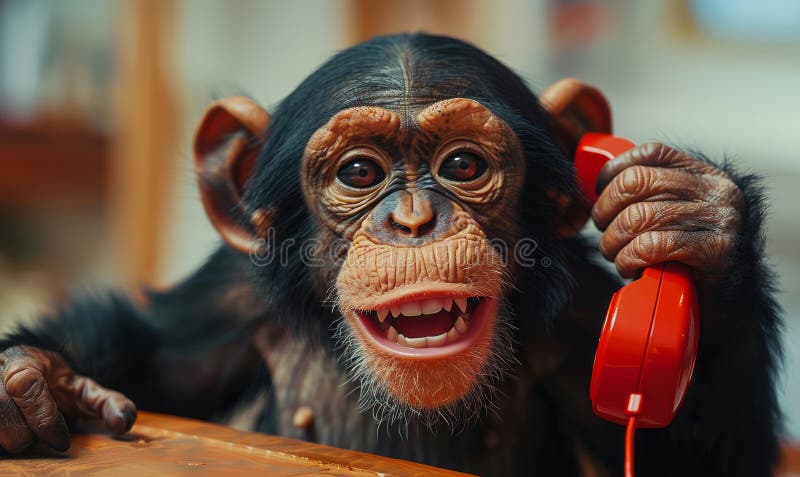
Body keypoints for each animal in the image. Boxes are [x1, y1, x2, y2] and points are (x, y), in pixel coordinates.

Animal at [0, 33, 782, 476]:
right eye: (359, 172)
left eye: (463, 164)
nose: (413, 221)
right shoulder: (226, 304)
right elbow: (154, 350)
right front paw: (30, 381)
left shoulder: (590, 323)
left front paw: (695, 220)